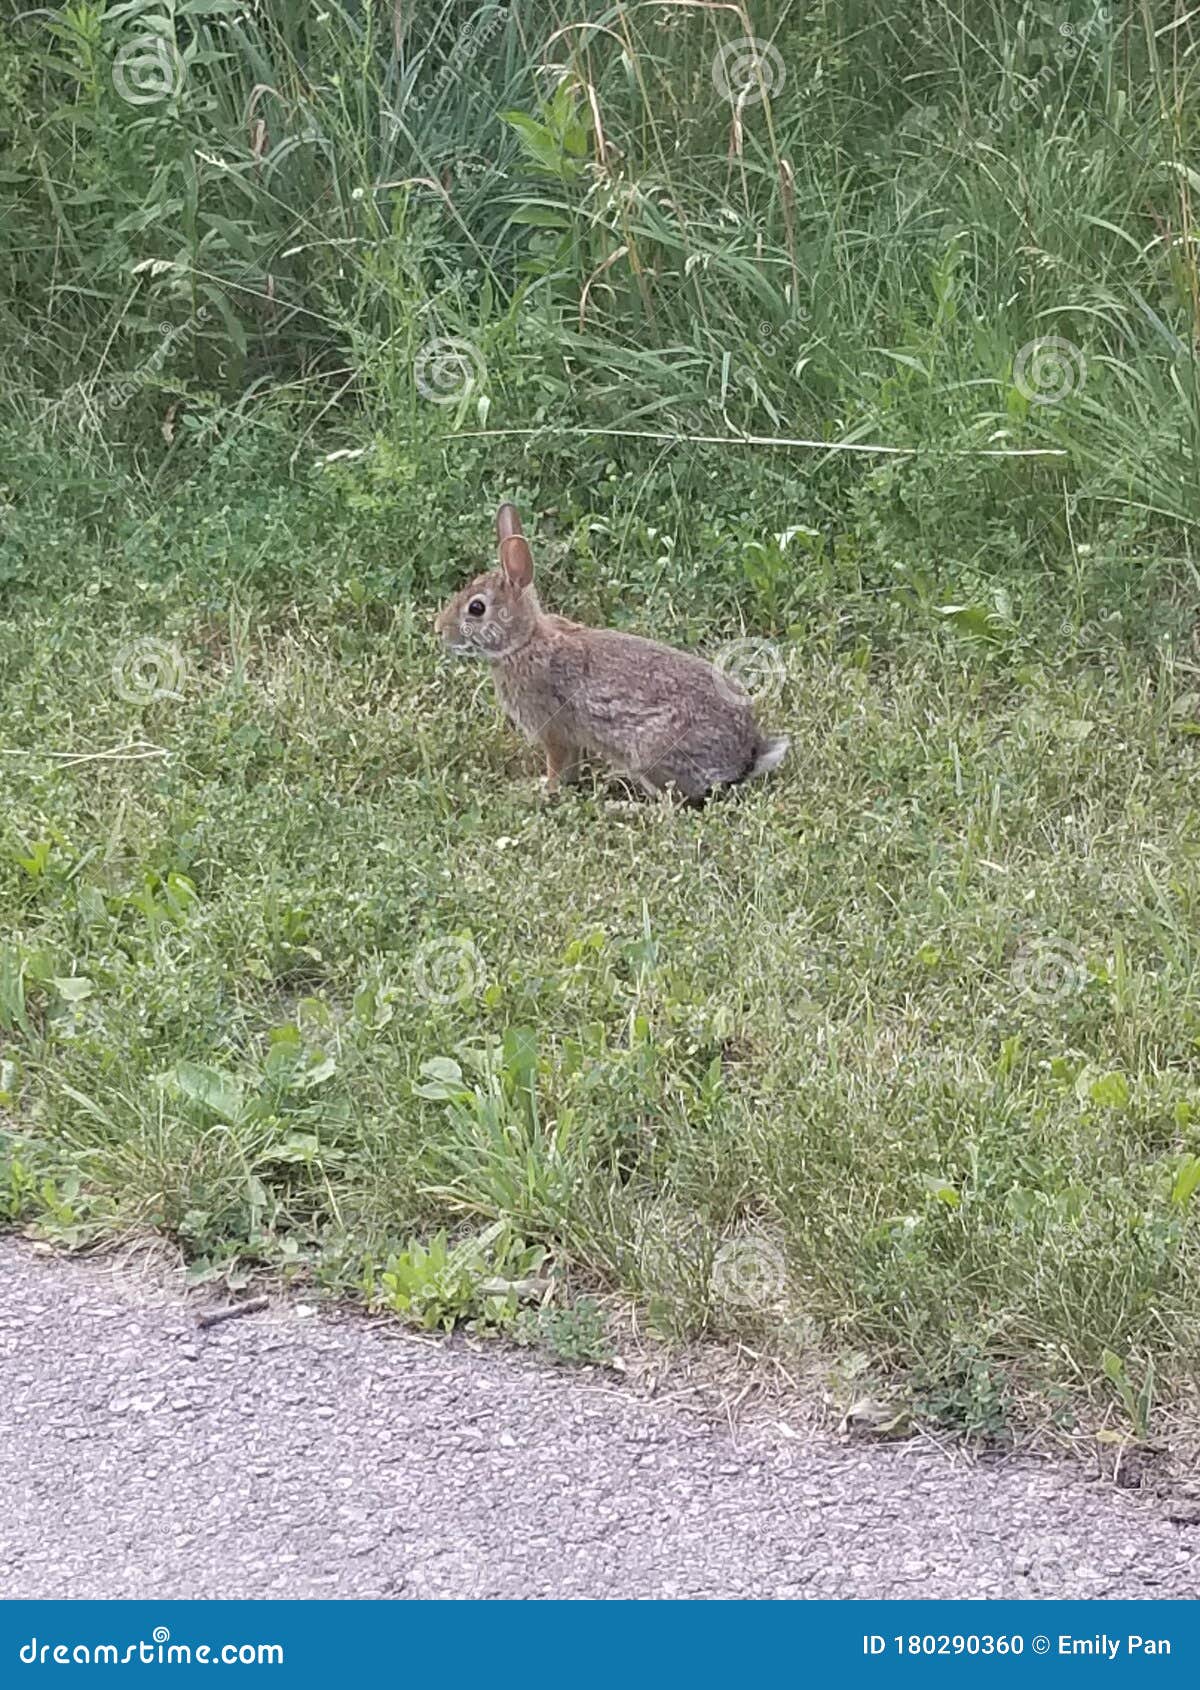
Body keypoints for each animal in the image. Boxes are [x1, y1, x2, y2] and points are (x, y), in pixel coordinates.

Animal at [434, 504, 789, 802]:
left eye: (476, 608)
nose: (439, 630)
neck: (524, 642)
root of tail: (745, 760)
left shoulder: (554, 731)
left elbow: (557, 765)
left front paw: (545, 790)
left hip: (650, 754)